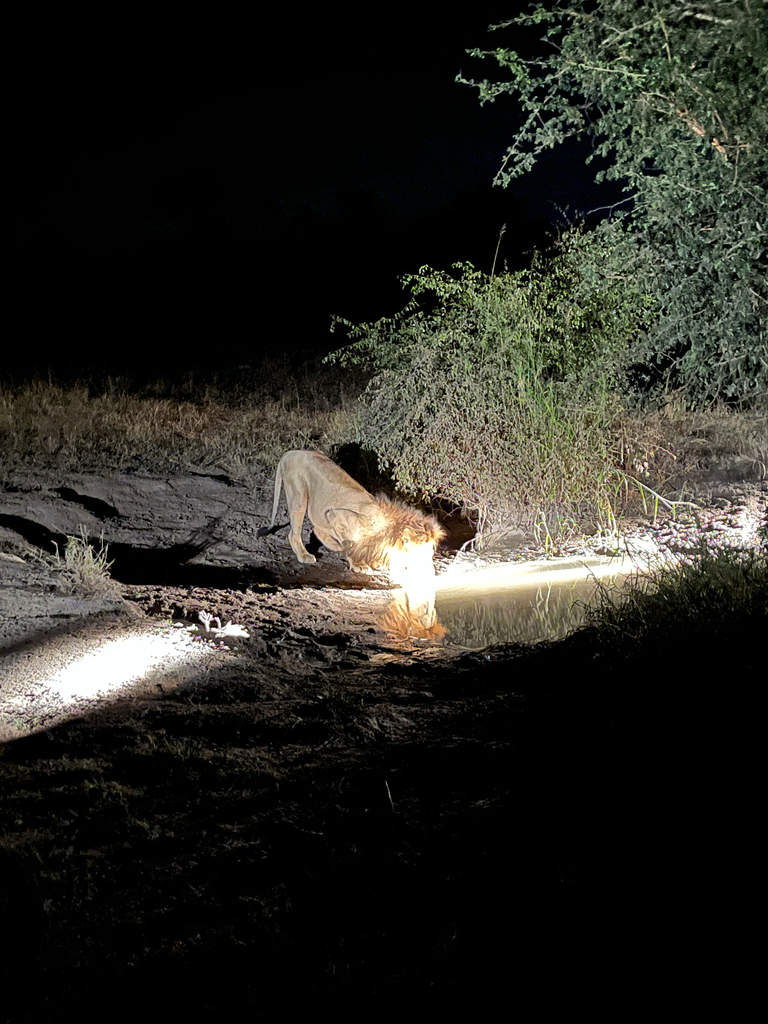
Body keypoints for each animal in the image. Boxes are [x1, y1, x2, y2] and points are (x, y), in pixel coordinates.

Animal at [257, 450, 445, 581]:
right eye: (422, 553)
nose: (431, 572)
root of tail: (291, 453)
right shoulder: (338, 515)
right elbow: (352, 545)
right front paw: (359, 564)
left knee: (318, 529)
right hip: (299, 496)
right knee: (294, 532)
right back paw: (304, 555)